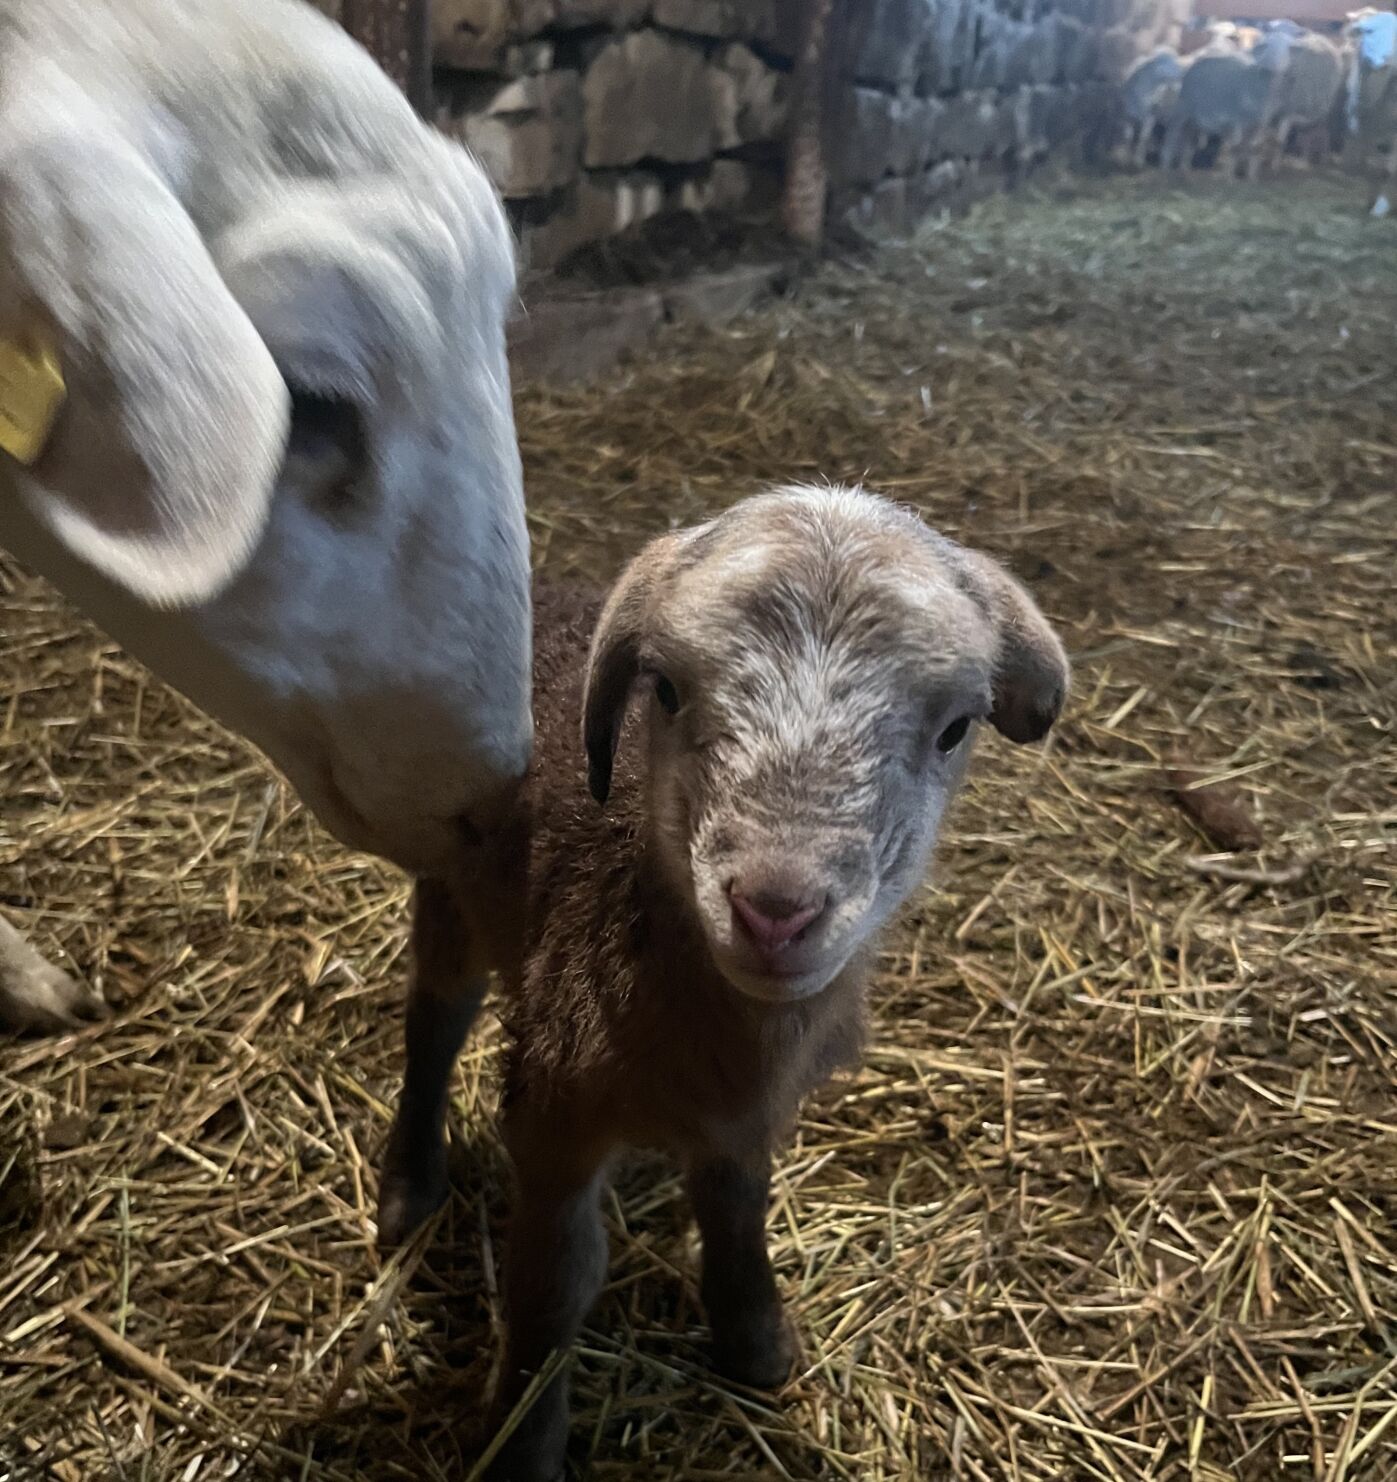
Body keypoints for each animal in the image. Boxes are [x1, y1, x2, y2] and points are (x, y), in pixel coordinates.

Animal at [391, 485, 1069, 1480]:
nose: (775, 912)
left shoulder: (751, 1114)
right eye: (666, 690)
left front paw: (756, 1340)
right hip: (448, 884)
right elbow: (553, 1287)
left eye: (954, 728)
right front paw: (522, 1440)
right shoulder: (554, 1119)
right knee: (434, 1019)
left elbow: (738, 1206)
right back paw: (407, 1184)